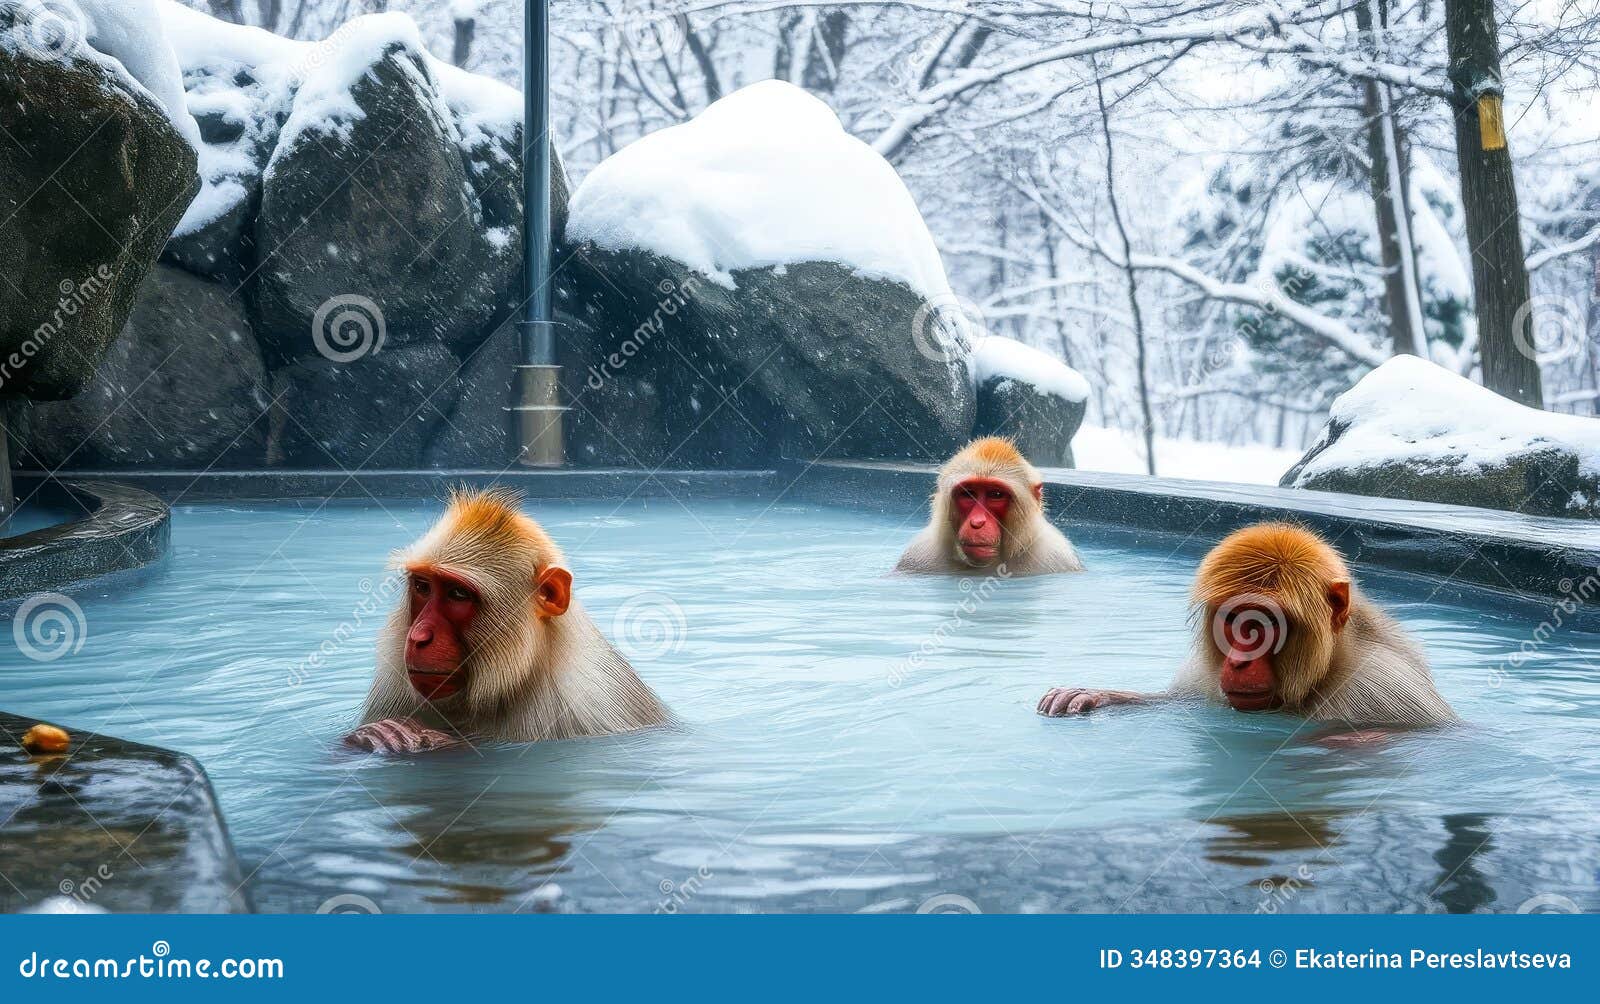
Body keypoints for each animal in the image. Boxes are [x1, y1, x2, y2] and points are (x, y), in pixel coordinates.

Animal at [1037, 523, 1456, 729]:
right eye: (1234, 621)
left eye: (1264, 625)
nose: (1239, 661)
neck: (1326, 669)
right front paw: (1095, 694)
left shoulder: (1380, 691)